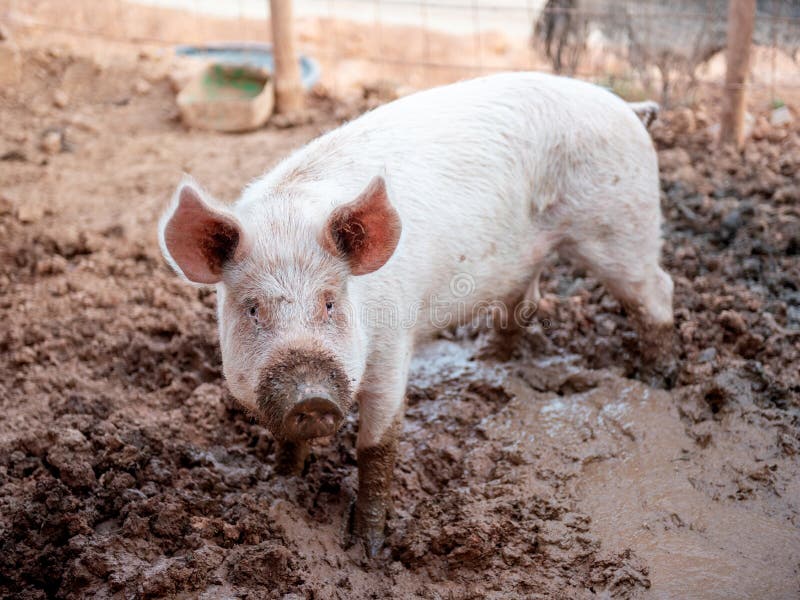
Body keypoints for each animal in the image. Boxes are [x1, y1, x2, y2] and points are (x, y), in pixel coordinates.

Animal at [158, 72, 674, 557]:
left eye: (330, 301)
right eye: (252, 309)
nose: (312, 396)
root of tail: (627, 107)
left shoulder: (393, 343)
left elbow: (377, 446)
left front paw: (370, 549)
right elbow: (287, 440)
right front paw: (281, 484)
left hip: (621, 224)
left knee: (657, 290)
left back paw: (658, 379)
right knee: (528, 297)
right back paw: (490, 361)